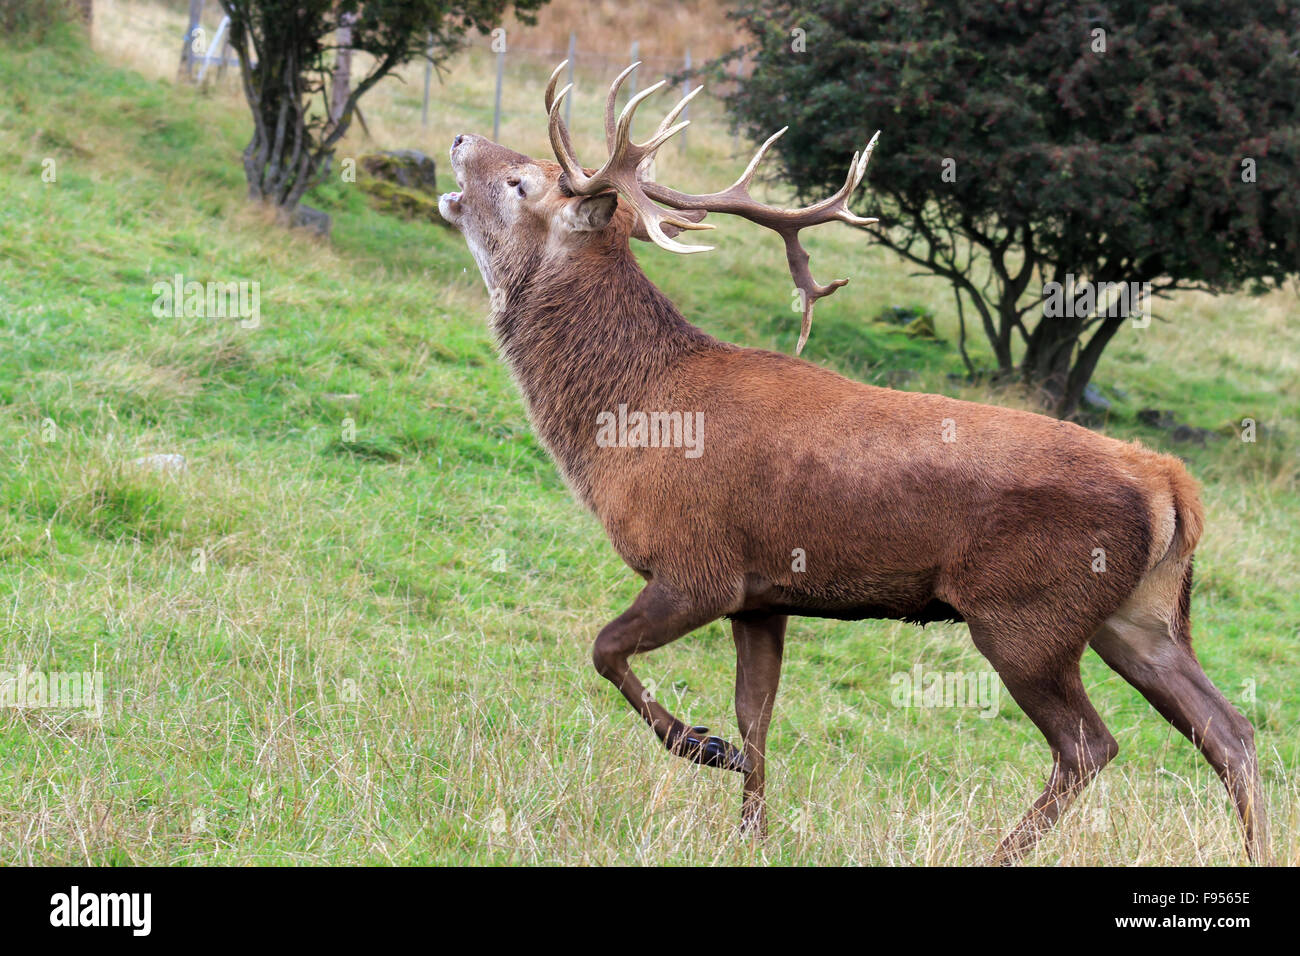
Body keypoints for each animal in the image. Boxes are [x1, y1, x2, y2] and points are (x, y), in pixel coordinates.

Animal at [436, 60, 1270, 864]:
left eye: (525, 182)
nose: (461, 138)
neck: (629, 419)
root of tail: (1172, 484)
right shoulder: (760, 594)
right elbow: (757, 714)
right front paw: (751, 832)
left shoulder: (698, 565)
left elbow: (606, 649)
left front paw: (703, 747)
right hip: (1142, 615)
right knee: (1230, 730)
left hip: (1026, 612)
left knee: (1090, 744)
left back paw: (996, 853)